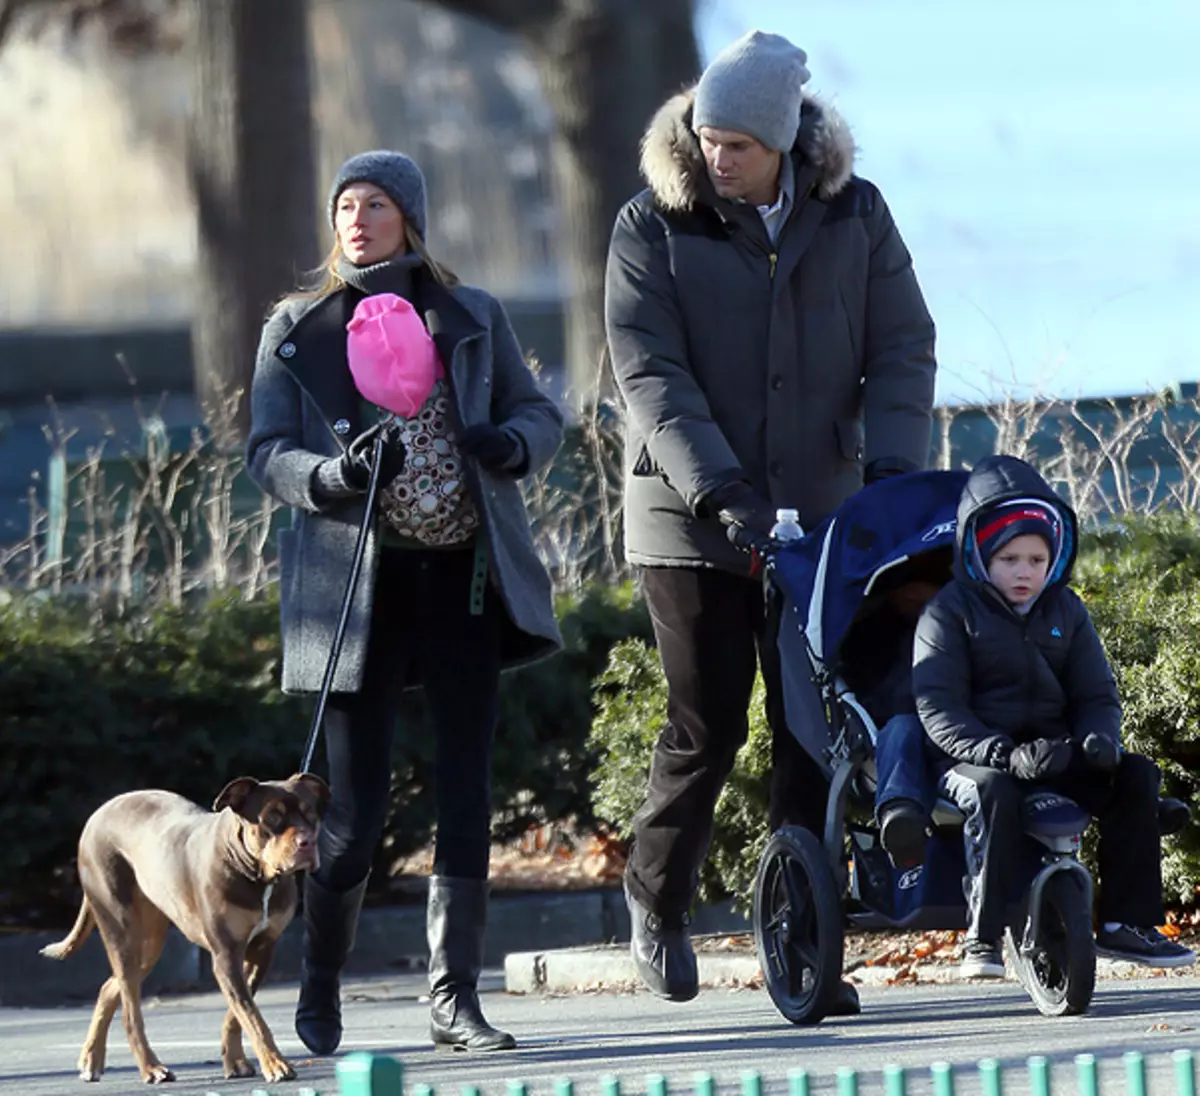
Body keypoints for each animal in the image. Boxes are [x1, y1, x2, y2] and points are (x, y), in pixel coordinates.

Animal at [41, 773, 328, 1080]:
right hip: (119, 926)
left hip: (149, 942)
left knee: (110, 987)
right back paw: (150, 1067)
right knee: (130, 1011)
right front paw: (275, 1063)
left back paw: (91, 1058)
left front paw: (236, 1060)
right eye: (272, 818)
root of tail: (97, 815)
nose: (307, 842)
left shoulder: (261, 951)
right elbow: (252, 1016)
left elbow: (238, 1013)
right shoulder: (226, 955)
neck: (254, 873)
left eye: (311, 814)